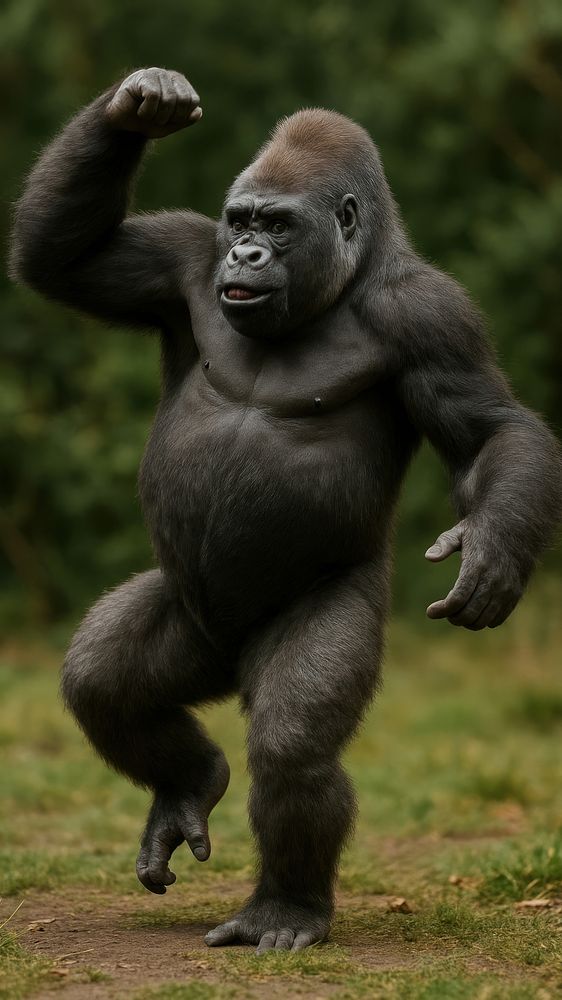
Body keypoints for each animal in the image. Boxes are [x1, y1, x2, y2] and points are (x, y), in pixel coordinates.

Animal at [10, 67, 562, 953]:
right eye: (240, 221)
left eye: (278, 224)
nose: (247, 254)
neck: (351, 279)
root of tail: (229, 664)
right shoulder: (183, 254)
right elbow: (62, 261)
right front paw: (138, 108)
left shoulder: (432, 314)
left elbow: (491, 430)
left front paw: (496, 553)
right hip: (196, 634)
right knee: (104, 682)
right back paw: (187, 782)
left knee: (292, 741)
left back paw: (288, 906)